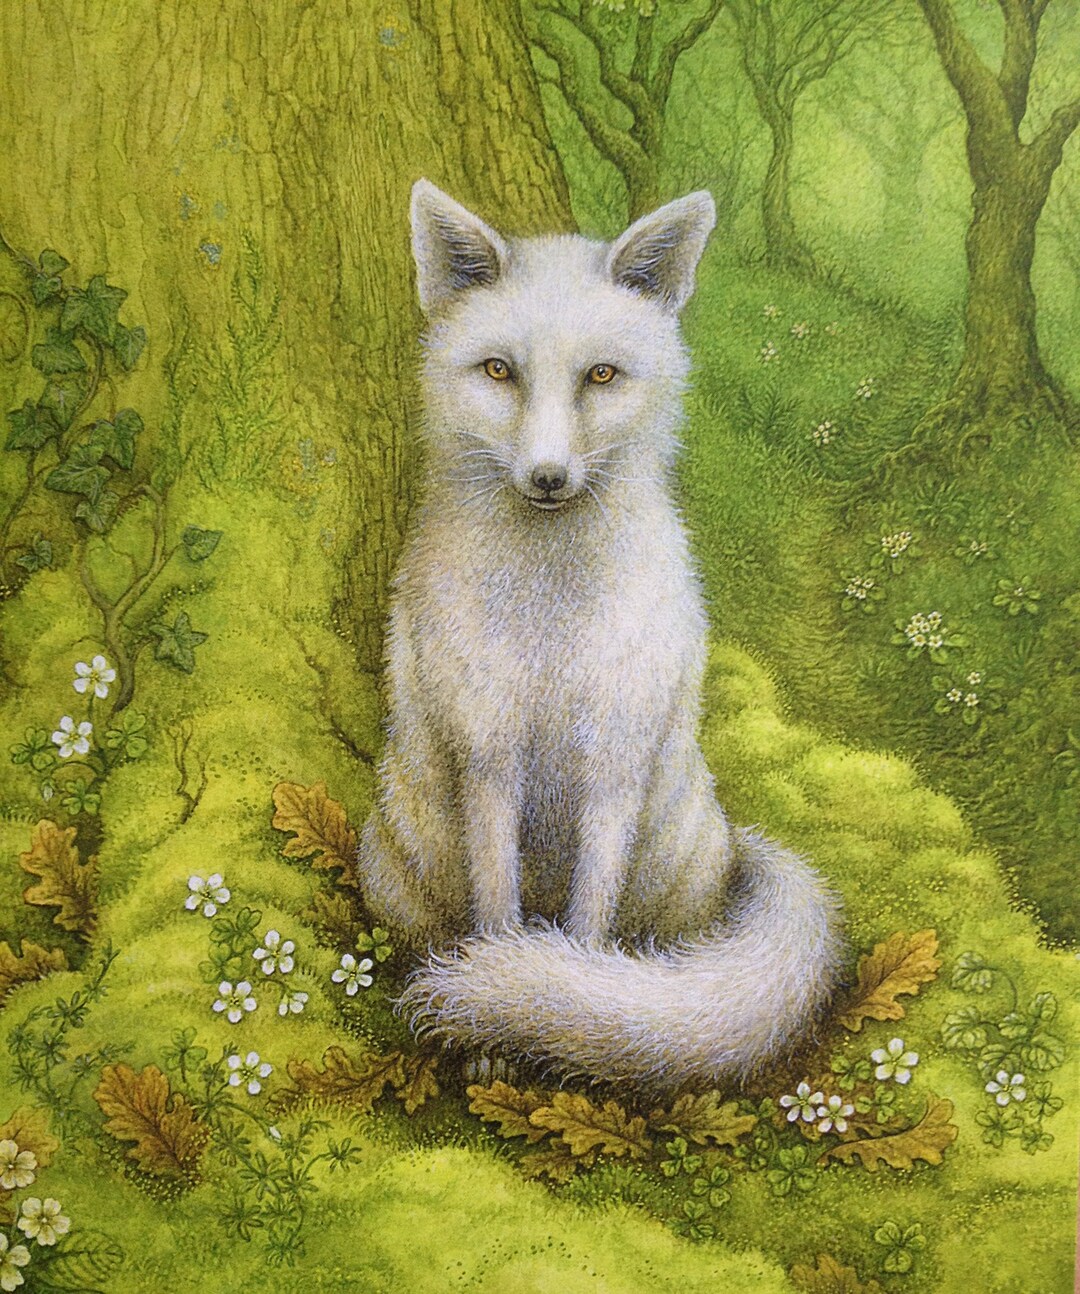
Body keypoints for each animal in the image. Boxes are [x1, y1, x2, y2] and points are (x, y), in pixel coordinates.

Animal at [356, 178, 842, 1092]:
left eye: (602, 375)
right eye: (499, 371)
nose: (548, 478)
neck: (553, 627)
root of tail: (735, 846)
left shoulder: (613, 762)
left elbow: (587, 924)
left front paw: (561, 1001)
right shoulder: (490, 758)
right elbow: (499, 909)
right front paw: (499, 1034)